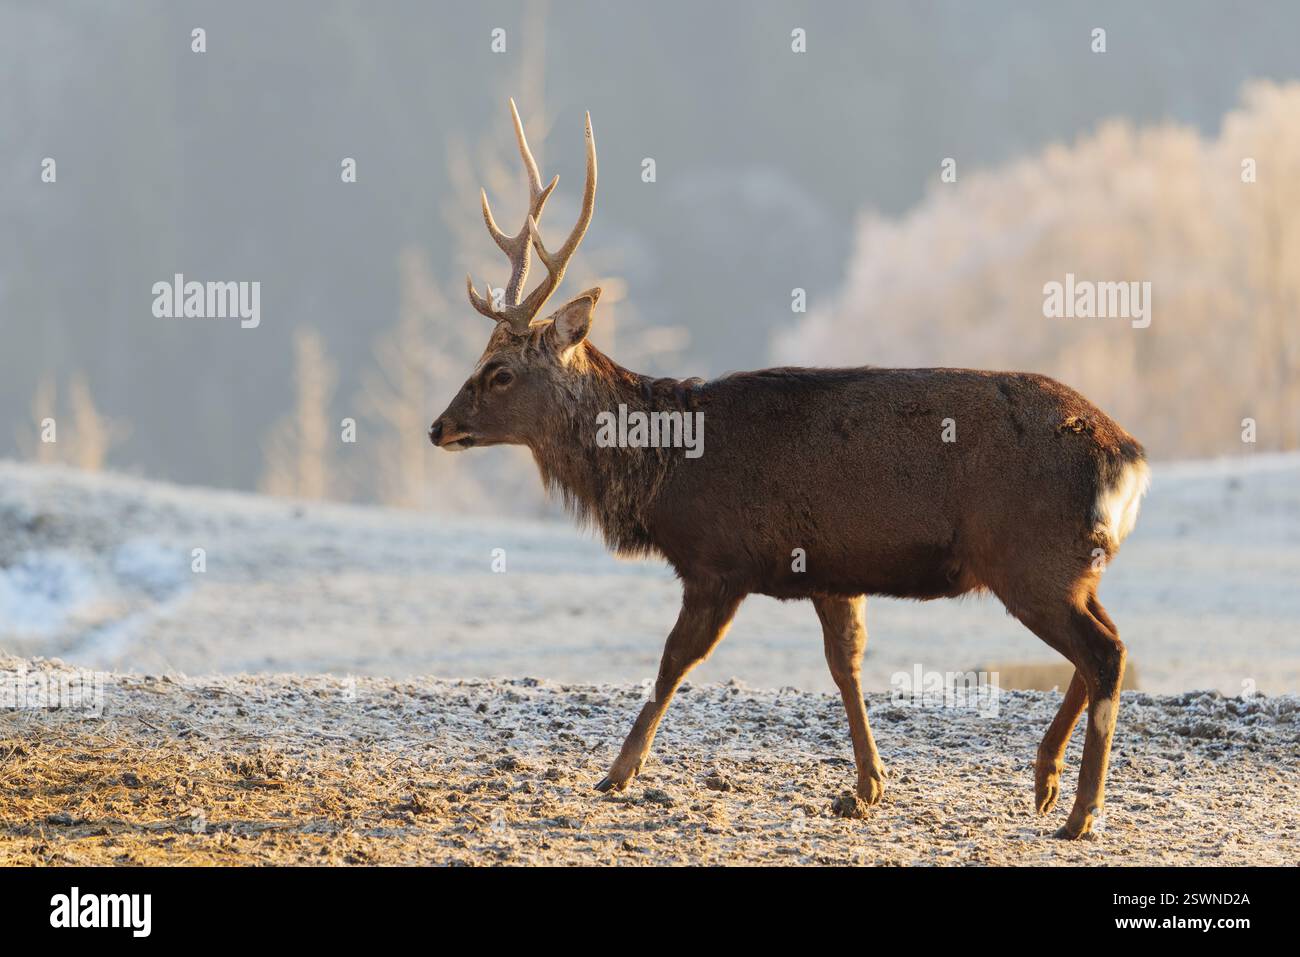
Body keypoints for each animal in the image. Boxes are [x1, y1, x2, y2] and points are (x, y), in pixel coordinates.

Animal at [429, 101, 1150, 840]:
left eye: (500, 371)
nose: (439, 426)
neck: (665, 468)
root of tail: (1128, 455)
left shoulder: (718, 561)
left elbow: (673, 661)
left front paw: (616, 773)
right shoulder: (832, 570)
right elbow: (846, 665)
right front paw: (866, 787)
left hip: (1028, 556)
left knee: (1103, 653)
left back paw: (1080, 811)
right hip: (1070, 562)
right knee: (1112, 645)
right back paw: (1044, 781)